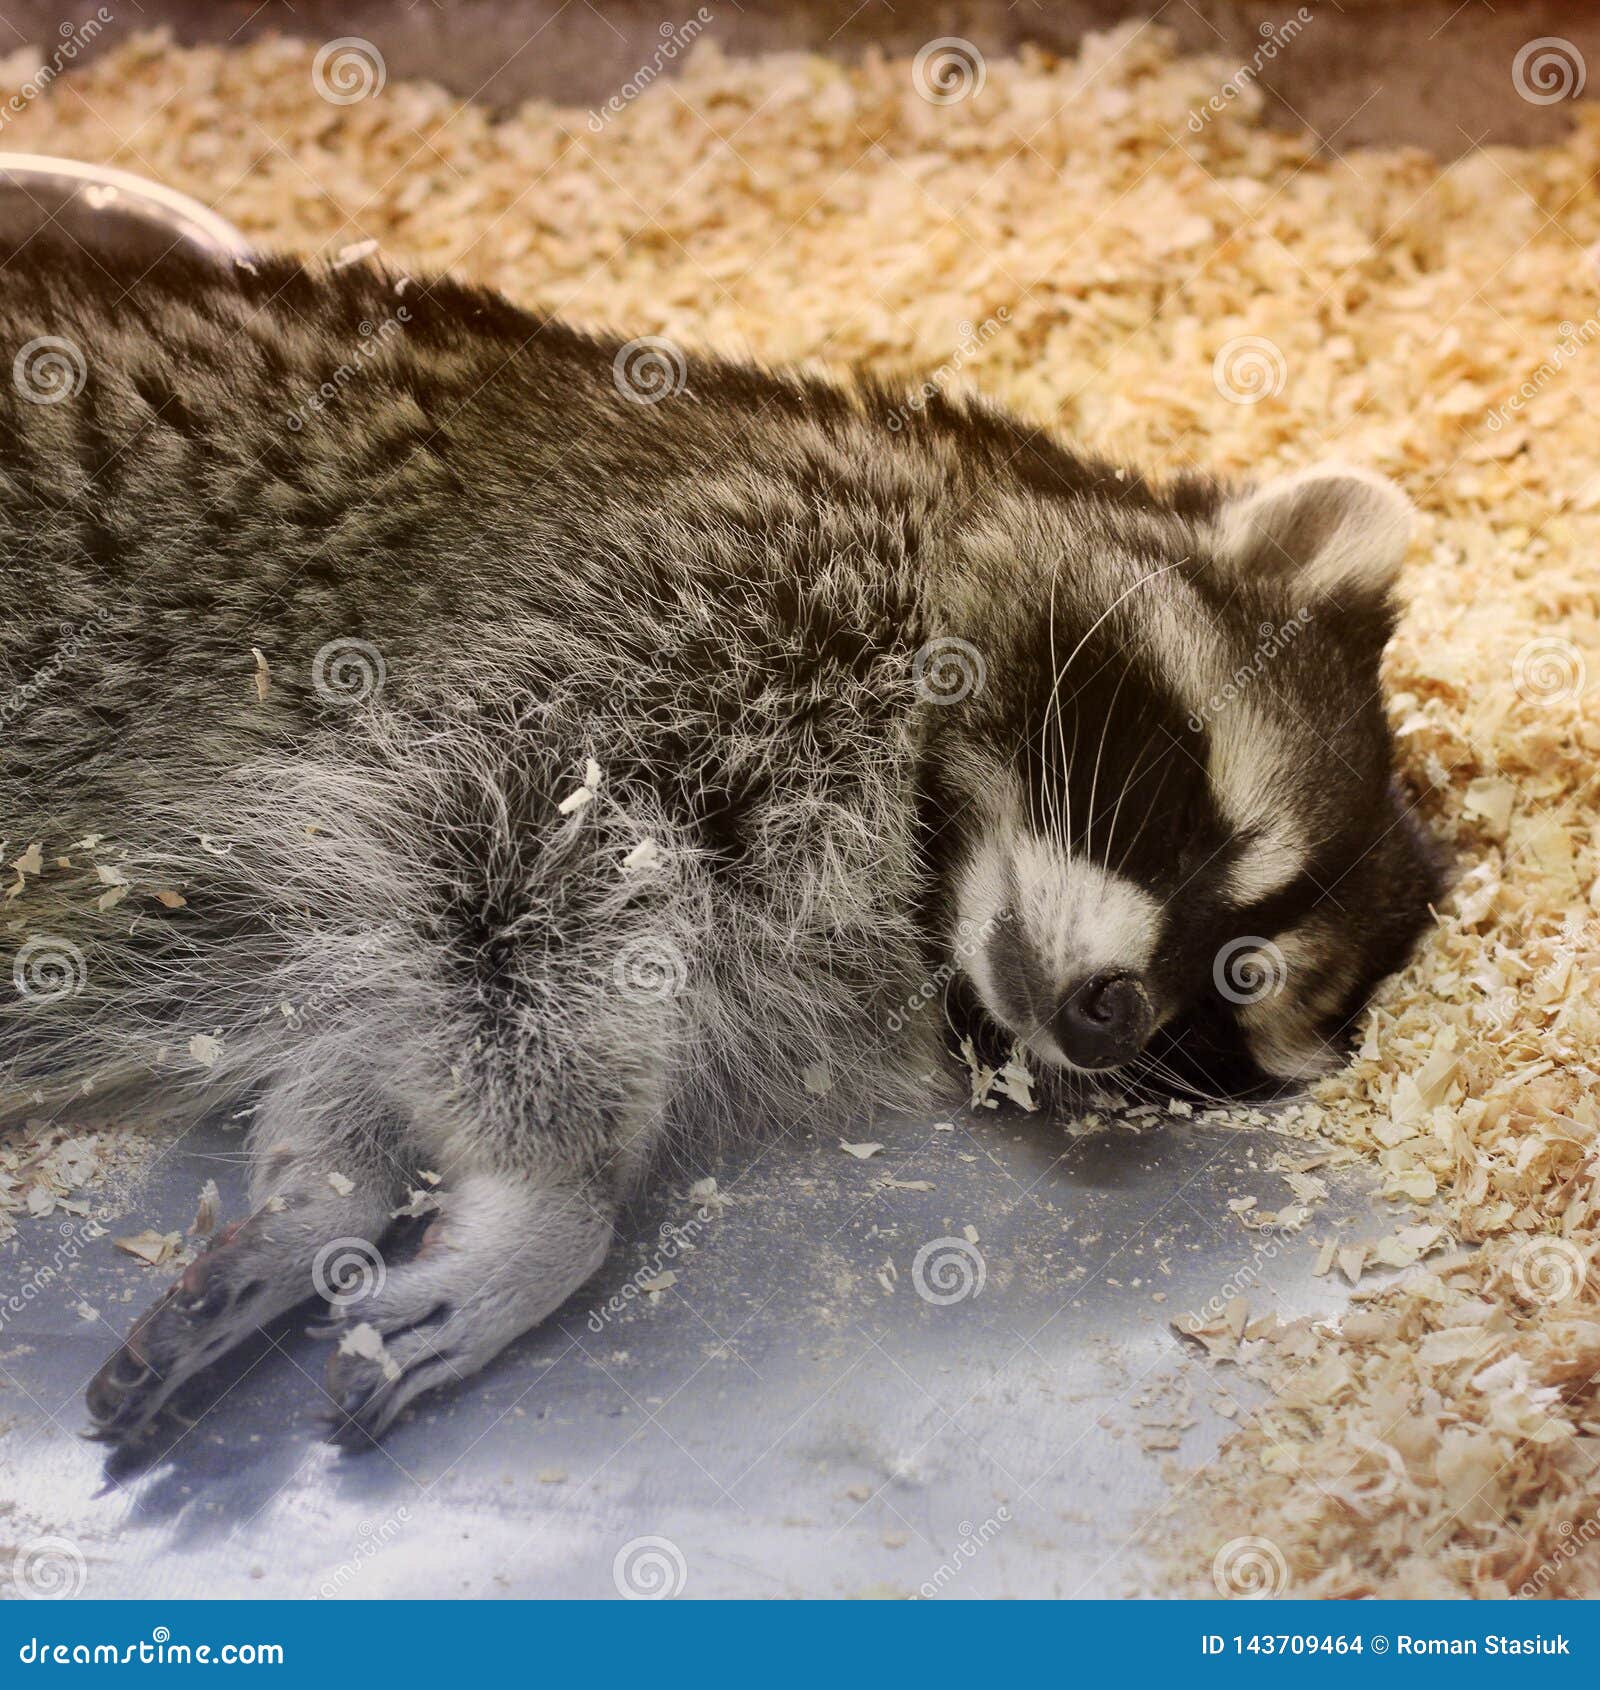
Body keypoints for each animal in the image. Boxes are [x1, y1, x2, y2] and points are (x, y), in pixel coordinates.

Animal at [0, 242, 1438, 1445]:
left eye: (1224, 1006)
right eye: (1202, 814)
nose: (1111, 1015)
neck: (925, 850)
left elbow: (372, 986)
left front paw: (335, 1192)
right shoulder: (679, 599)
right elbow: (488, 856)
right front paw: (553, 1206)